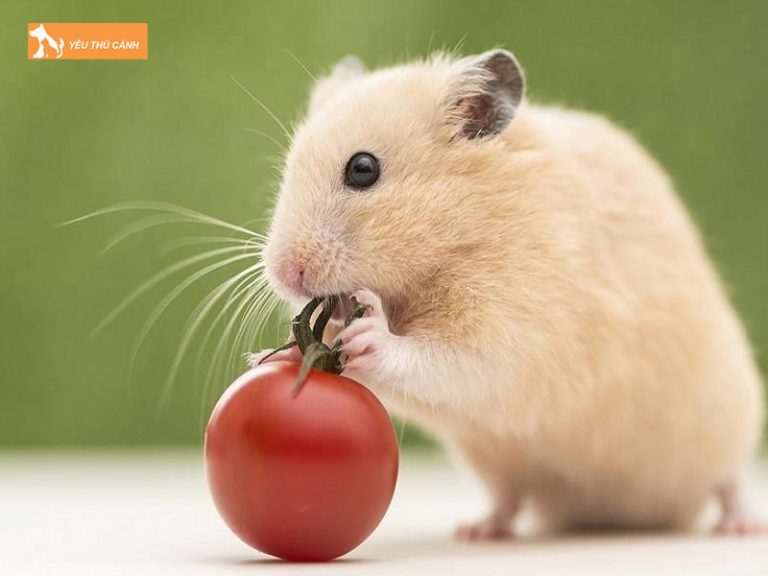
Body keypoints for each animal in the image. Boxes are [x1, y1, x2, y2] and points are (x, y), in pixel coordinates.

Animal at [250, 50, 765, 538]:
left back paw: (740, 525)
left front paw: (370, 332)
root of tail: (636, 515)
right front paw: (274, 352)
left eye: (363, 169)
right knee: (508, 498)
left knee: (729, 479)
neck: (459, 236)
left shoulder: (515, 330)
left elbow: (447, 359)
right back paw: (478, 530)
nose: (286, 273)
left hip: (728, 416)